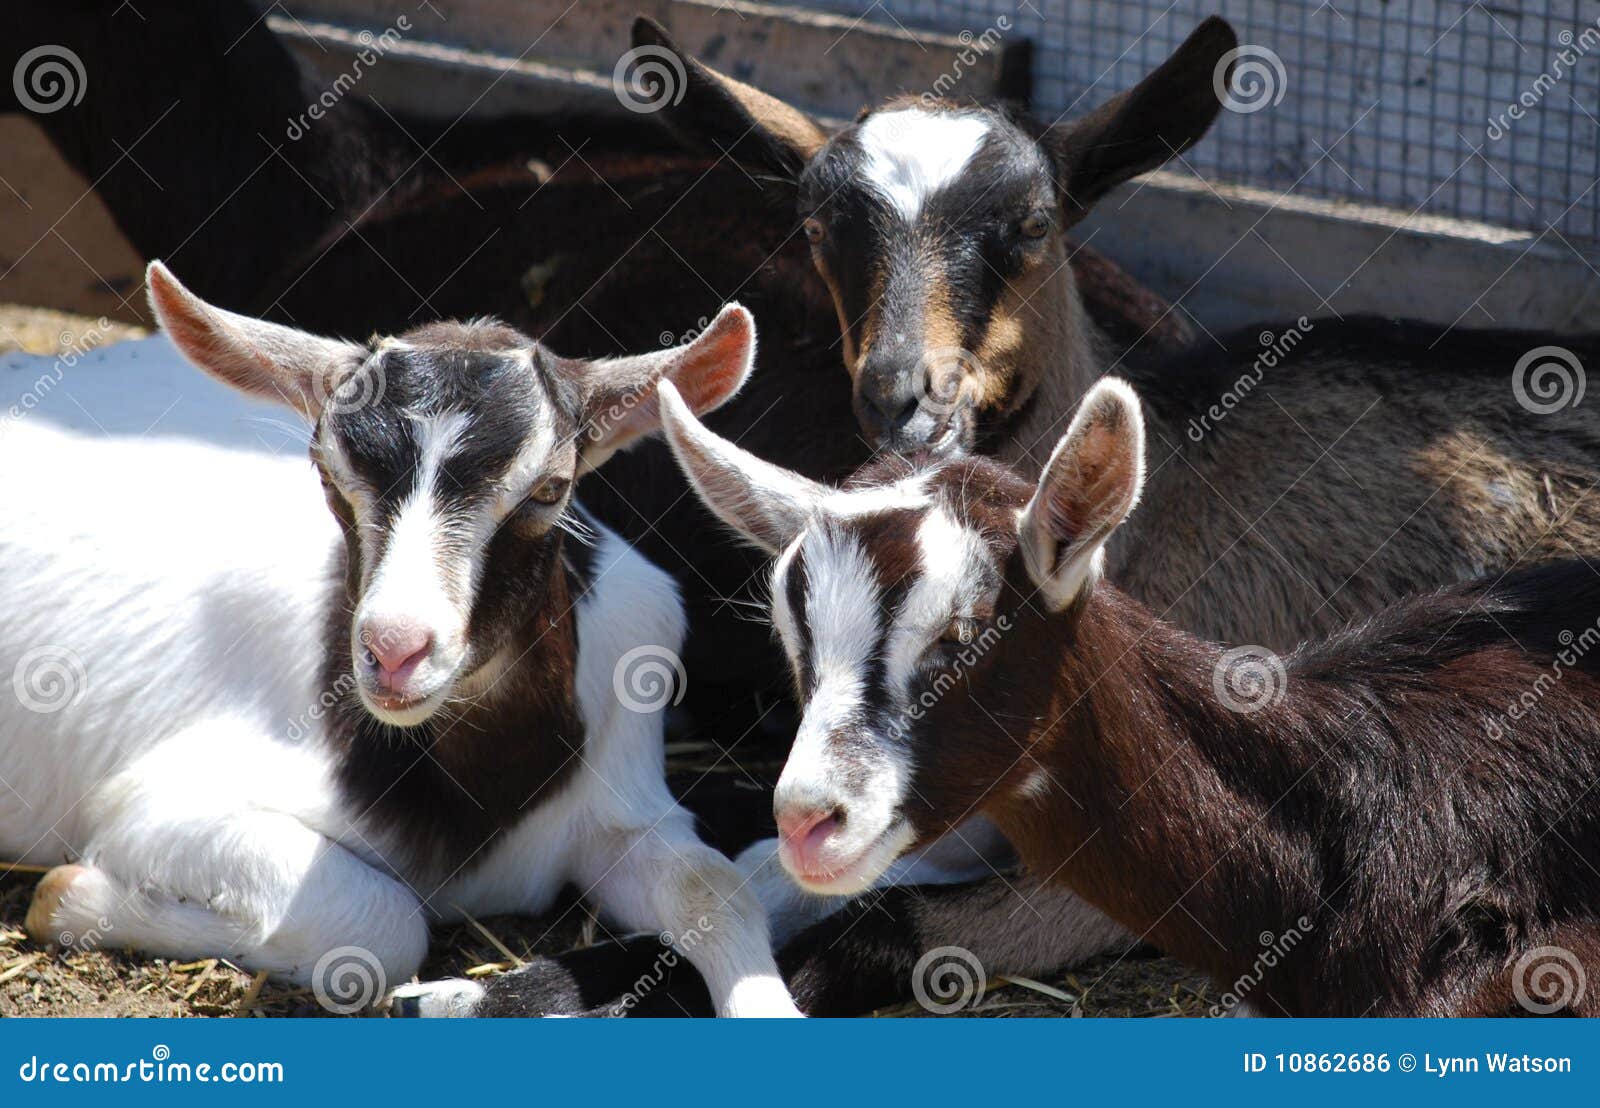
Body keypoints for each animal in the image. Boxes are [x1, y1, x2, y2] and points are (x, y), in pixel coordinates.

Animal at [0, 262, 800, 1017]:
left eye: (550, 489)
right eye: (328, 475)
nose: (394, 650)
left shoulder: (623, 805)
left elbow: (714, 884)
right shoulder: (152, 809)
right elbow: (382, 925)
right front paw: (68, 897)